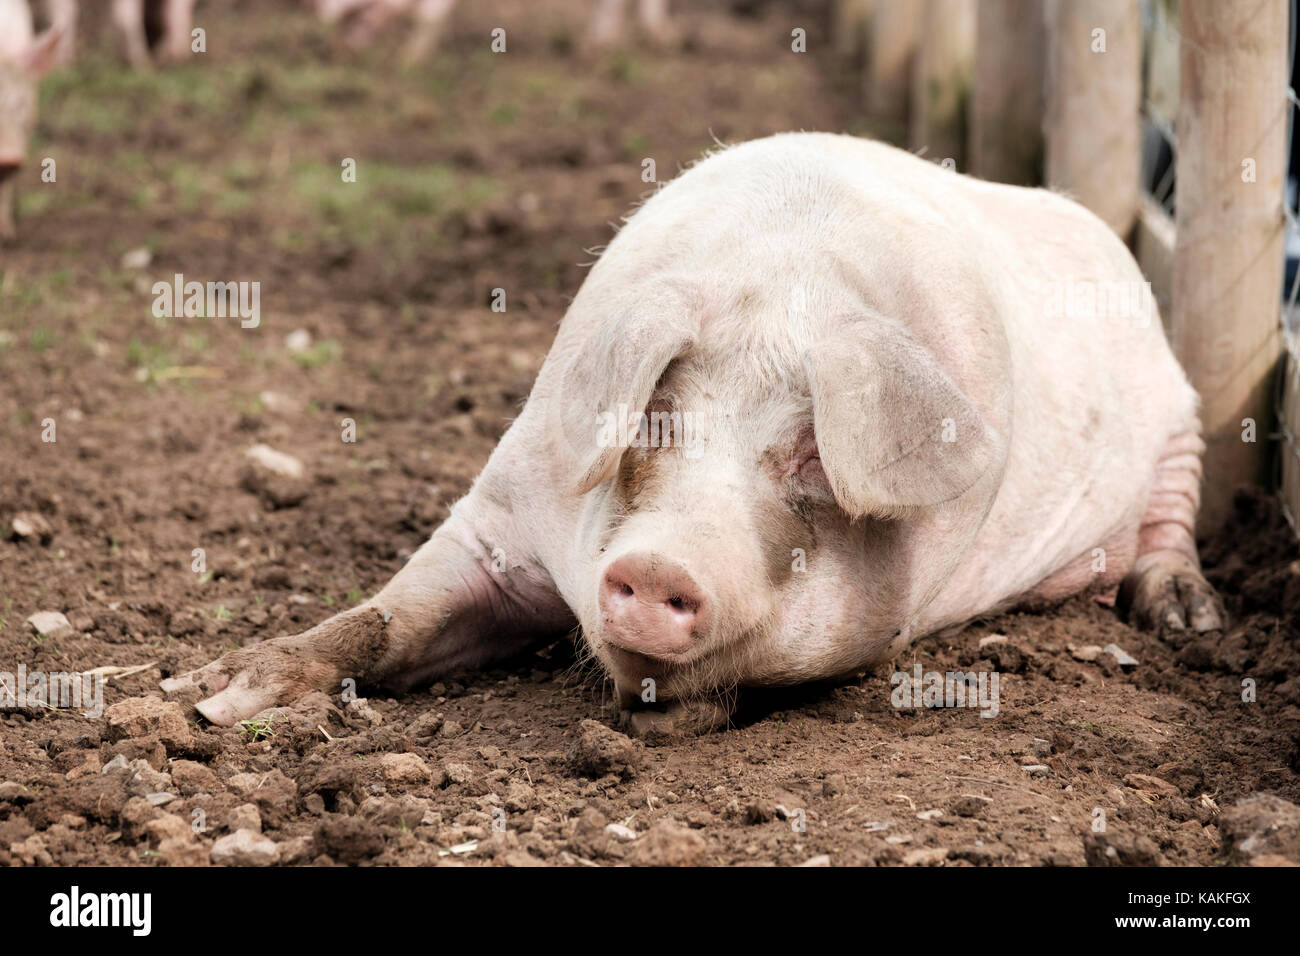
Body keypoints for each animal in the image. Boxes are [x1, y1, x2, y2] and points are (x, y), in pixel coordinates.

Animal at [161, 132, 1224, 736]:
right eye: (658, 419)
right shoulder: (503, 511)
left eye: (812, 455)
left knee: (1172, 525)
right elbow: (386, 617)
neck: (781, 282)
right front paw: (207, 699)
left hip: (1183, 417)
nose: (661, 563)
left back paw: (1189, 621)